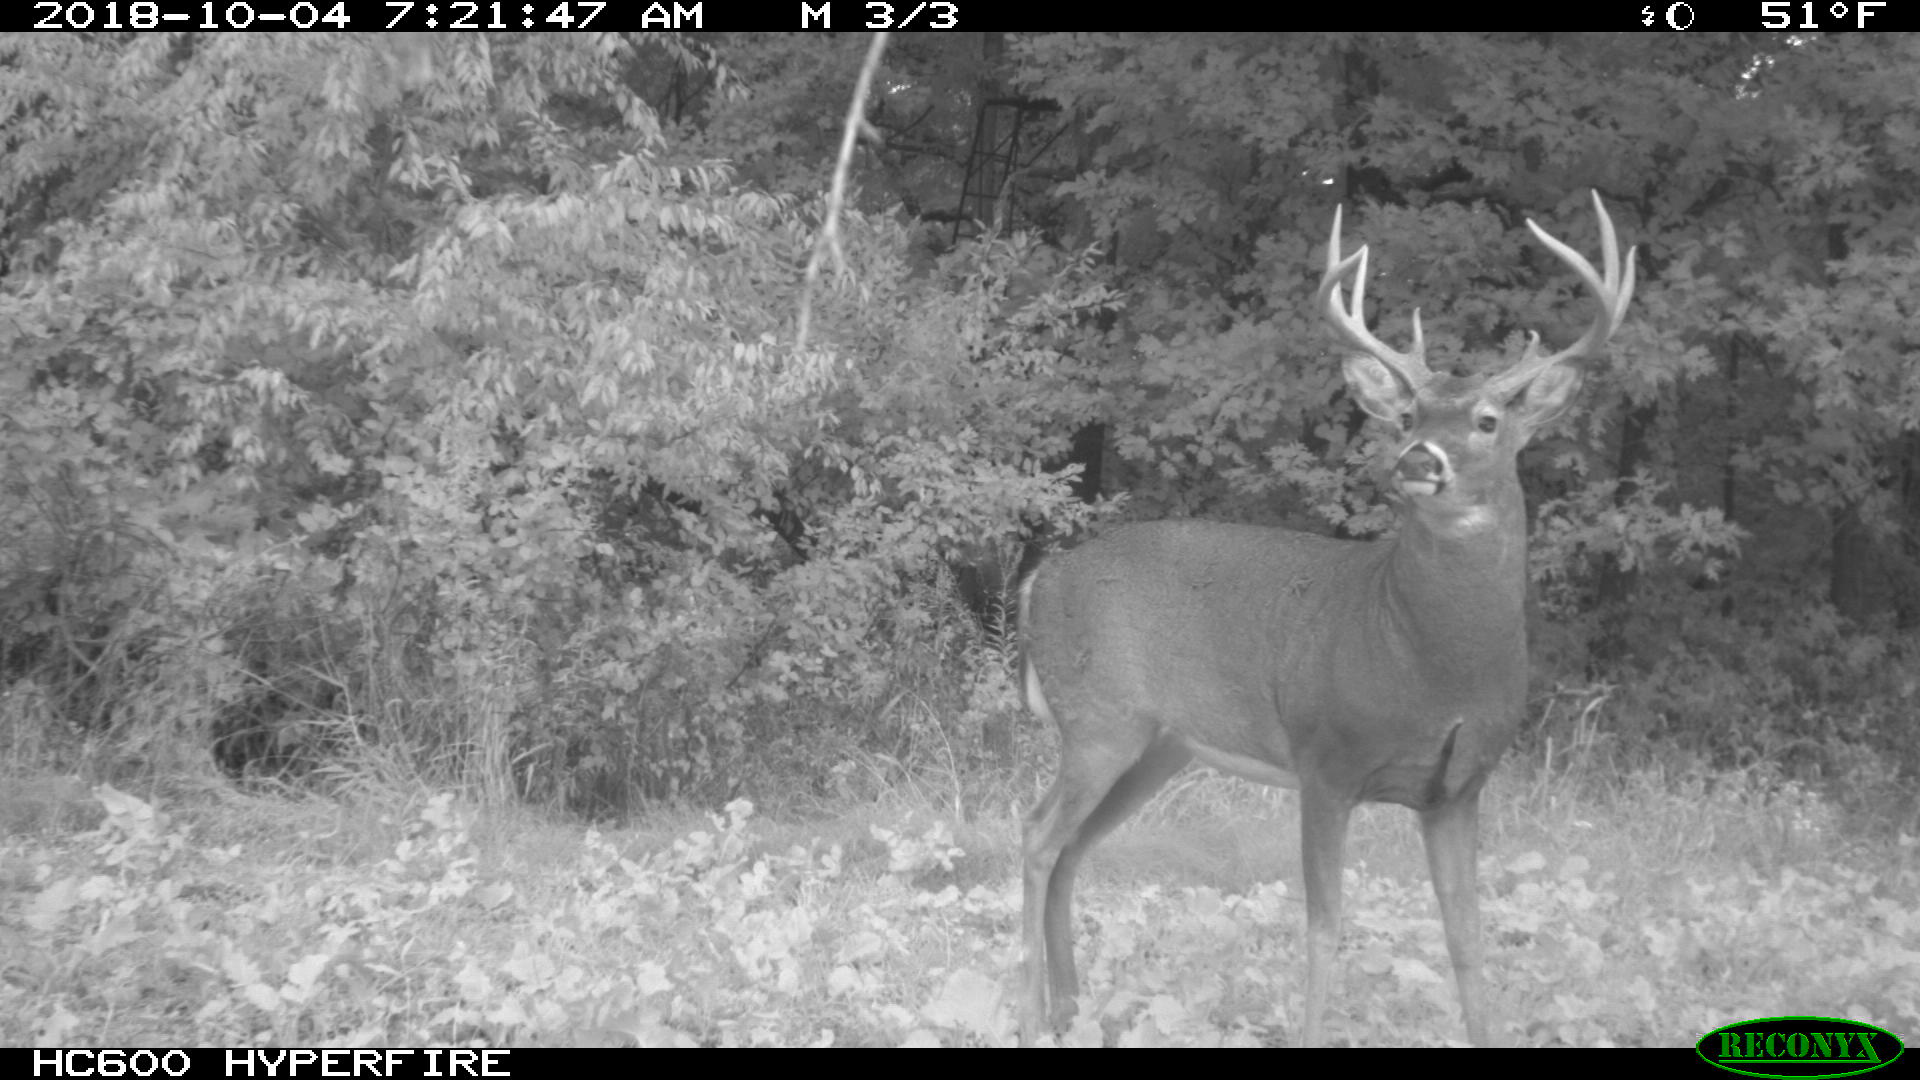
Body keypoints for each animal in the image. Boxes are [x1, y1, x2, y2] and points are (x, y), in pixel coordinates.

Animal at [1017, 191, 1634, 1046]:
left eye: (1486, 420)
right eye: (1407, 413)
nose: (1418, 459)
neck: (1434, 666)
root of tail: (1039, 579)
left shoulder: (1460, 786)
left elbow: (1467, 934)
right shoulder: (1326, 758)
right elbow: (1324, 926)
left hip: (1159, 745)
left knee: (1073, 849)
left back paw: (1072, 1011)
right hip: (1097, 719)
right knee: (1037, 837)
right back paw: (1024, 1012)